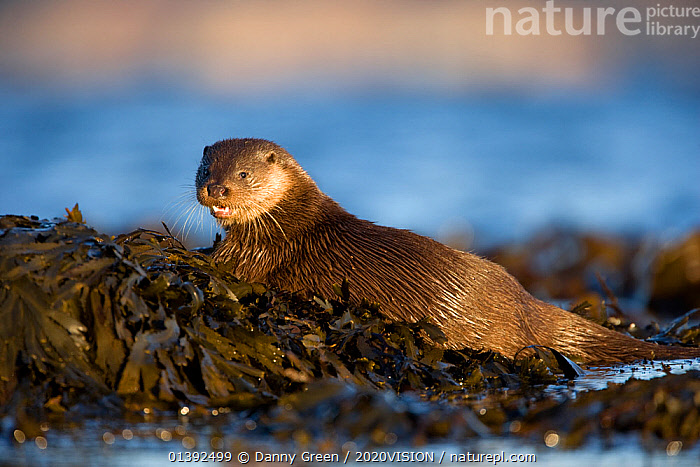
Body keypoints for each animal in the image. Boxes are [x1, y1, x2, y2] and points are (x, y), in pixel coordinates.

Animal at [196, 138, 700, 364]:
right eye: (204, 167)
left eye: (242, 174)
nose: (214, 188)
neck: (290, 217)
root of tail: (526, 302)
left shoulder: (258, 255)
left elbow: (220, 267)